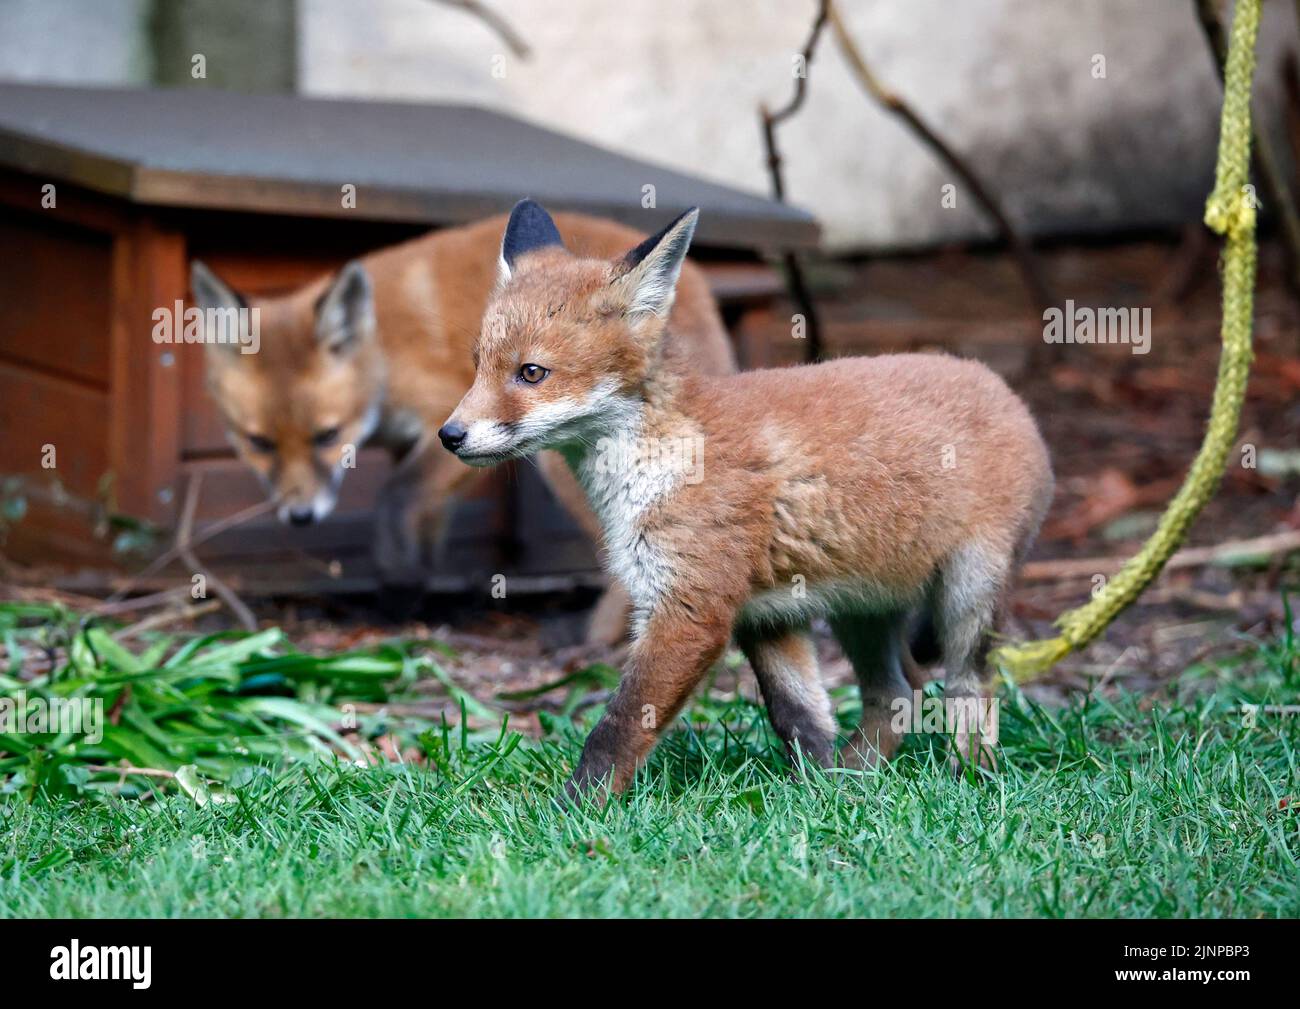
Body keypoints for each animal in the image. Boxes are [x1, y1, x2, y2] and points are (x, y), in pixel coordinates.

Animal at [190, 211, 735, 642]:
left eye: (326, 436)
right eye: (258, 443)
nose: (300, 517)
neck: (384, 350)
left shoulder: (450, 419)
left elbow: (397, 497)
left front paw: (398, 582)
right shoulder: (422, 439)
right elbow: (424, 518)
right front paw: (414, 593)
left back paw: (594, 641)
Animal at [440, 200, 1055, 797]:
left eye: (531, 373)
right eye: (479, 366)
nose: (450, 435)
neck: (662, 459)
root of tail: (1002, 389)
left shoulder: (692, 609)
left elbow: (615, 729)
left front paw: (574, 810)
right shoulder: (765, 615)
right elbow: (798, 717)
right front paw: (821, 799)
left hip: (968, 595)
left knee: (970, 691)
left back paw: (971, 780)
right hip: (862, 608)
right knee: (899, 697)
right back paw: (861, 780)